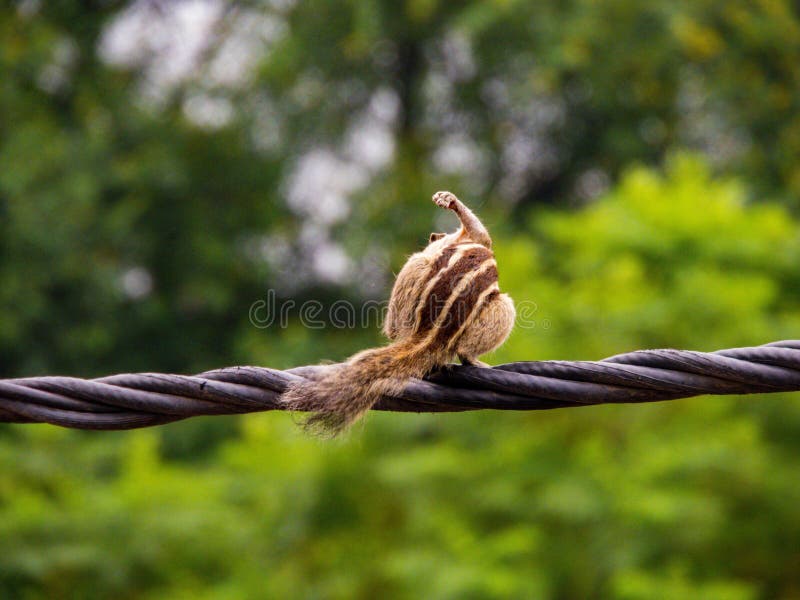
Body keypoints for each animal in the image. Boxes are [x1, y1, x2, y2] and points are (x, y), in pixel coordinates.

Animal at [281, 191, 516, 435]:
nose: (434, 236)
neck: (453, 241)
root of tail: (432, 332)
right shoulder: (476, 240)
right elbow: (481, 232)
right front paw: (449, 201)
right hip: (503, 307)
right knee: (463, 350)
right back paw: (475, 361)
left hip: (415, 272)